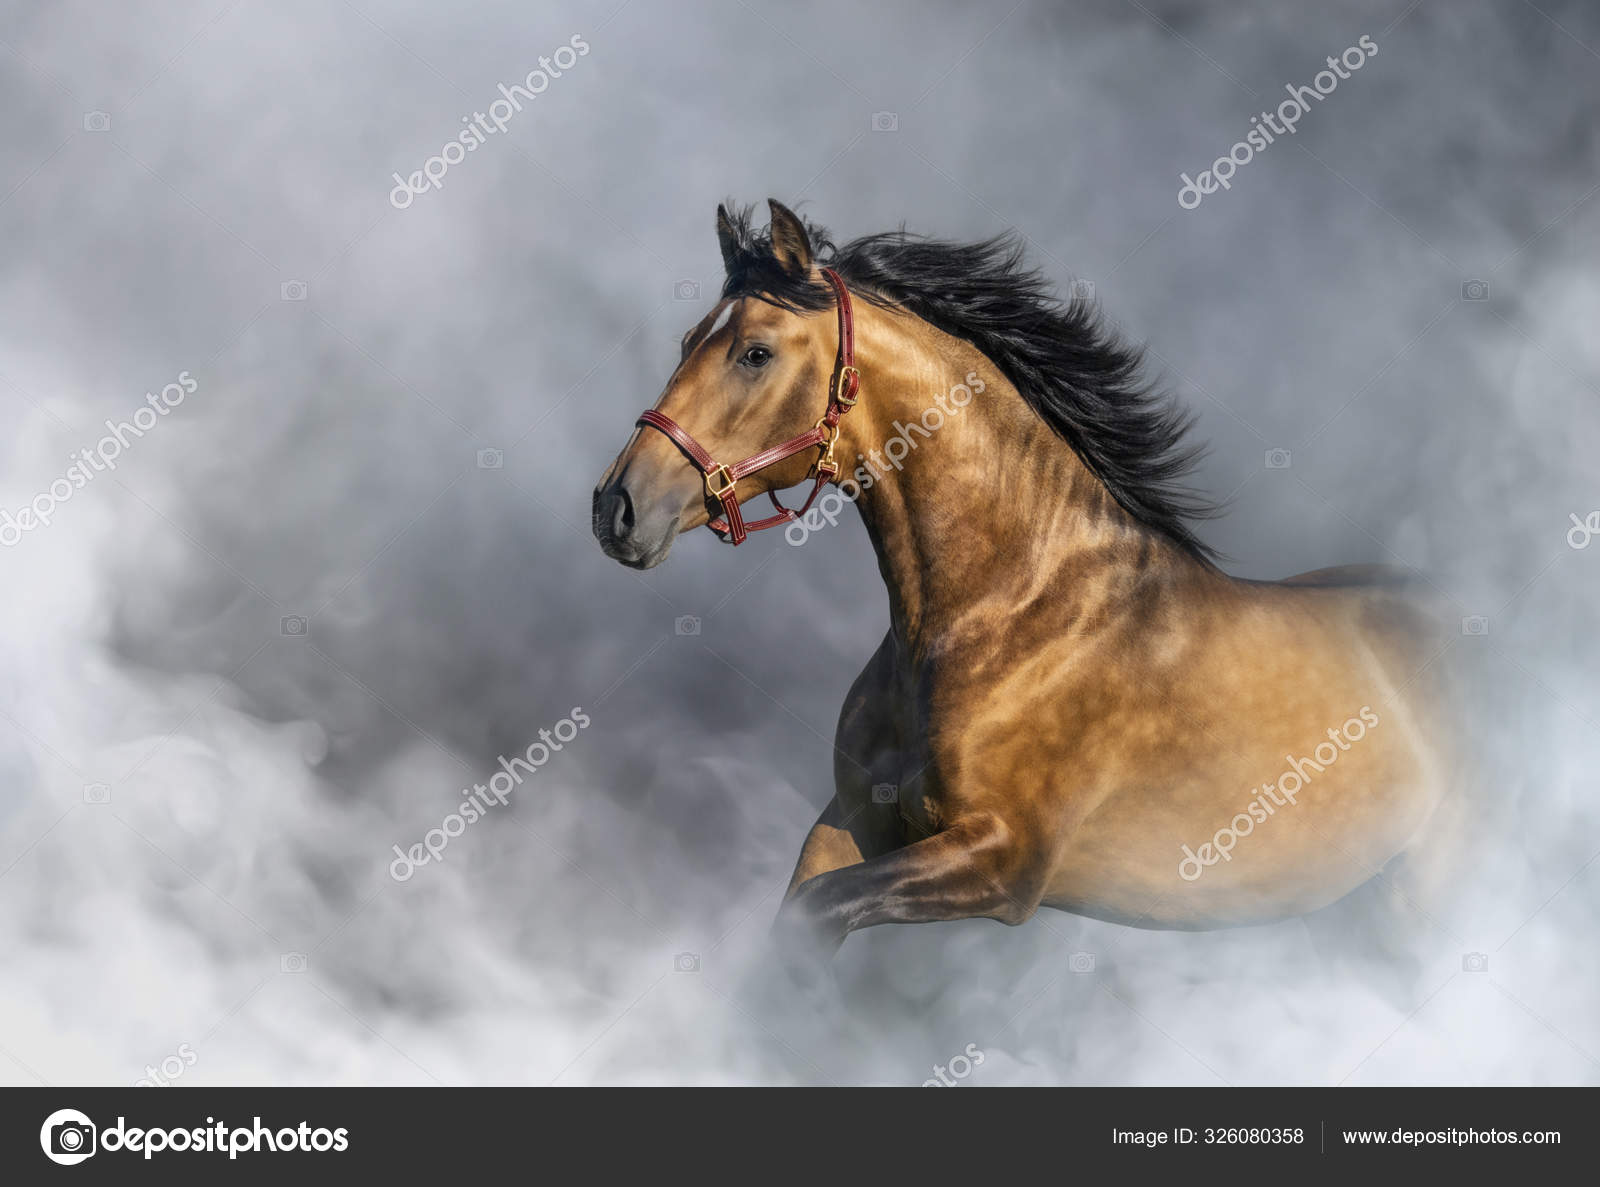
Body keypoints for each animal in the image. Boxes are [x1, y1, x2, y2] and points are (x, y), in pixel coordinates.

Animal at [592, 199, 1462, 963]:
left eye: (755, 353)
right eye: (688, 339)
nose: (616, 507)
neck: (1006, 610)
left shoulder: (1002, 859)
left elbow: (818, 914)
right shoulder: (852, 825)